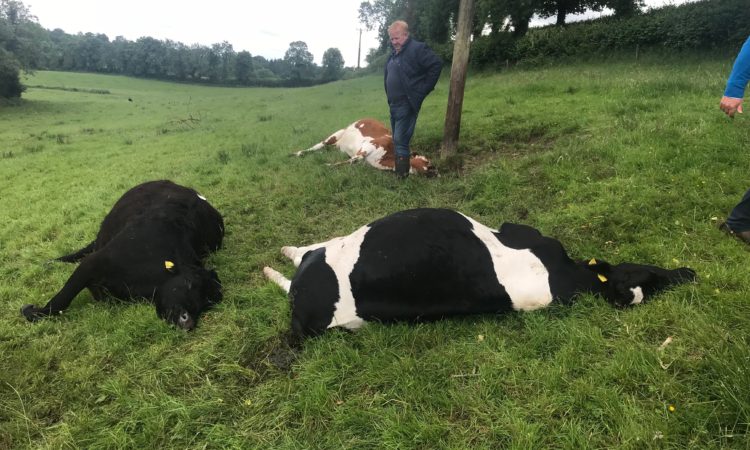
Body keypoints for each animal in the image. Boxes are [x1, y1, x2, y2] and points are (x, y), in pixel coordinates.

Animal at [21, 180, 224, 330]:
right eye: (189, 283)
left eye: (207, 301)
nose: (187, 321)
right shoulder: (93, 263)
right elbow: (61, 300)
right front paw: (31, 312)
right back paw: (50, 263)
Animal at [263, 208, 696, 339]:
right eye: (650, 274)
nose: (688, 272)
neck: (566, 276)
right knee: (308, 251)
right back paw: (281, 256)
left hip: (321, 278)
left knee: (305, 259)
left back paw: (276, 265)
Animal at [293, 118, 437, 176]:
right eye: (427, 161)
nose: (436, 172)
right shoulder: (369, 146)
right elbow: (354, 159)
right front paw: (327, 166)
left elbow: (353, 161)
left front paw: (328, 165)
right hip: (337, 133)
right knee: (319, 145)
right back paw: (299, 153)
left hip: (337, 144)